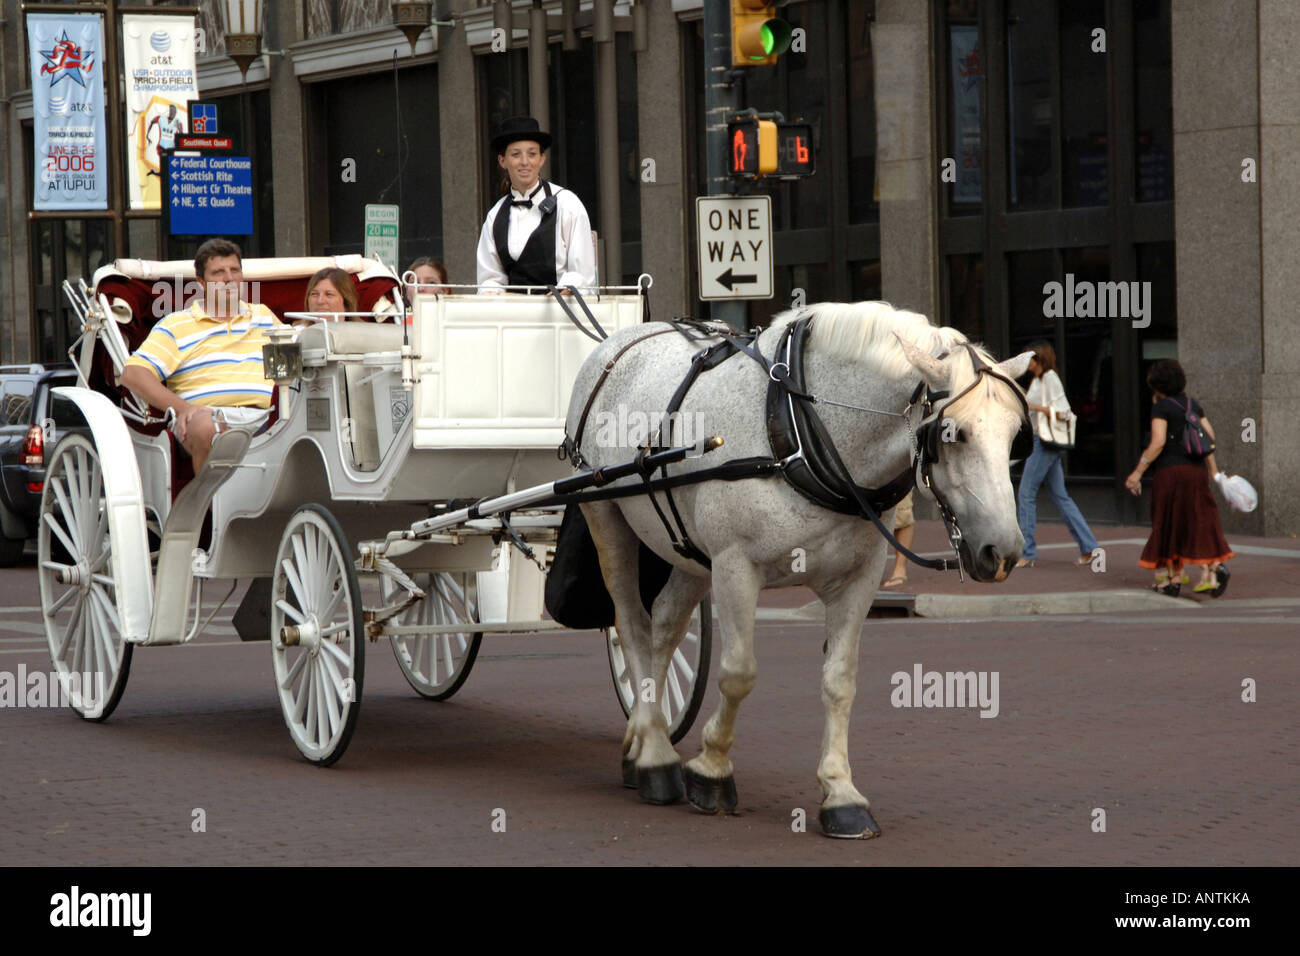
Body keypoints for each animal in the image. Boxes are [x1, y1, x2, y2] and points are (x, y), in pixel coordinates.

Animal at [564, 300, 1032, 838]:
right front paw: (712, 771)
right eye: (954, 434)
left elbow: (840, 681)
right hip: (606, 515)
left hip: (688, 551)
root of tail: (614, 344)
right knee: (631, 625)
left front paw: (840, 794)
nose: (1004, 552)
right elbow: (739, 673)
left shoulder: (857, 580)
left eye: (1015, 434)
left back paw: (642, 744)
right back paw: (657, 757)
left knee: (663, 626)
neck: (800, 430)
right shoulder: (735, 565)